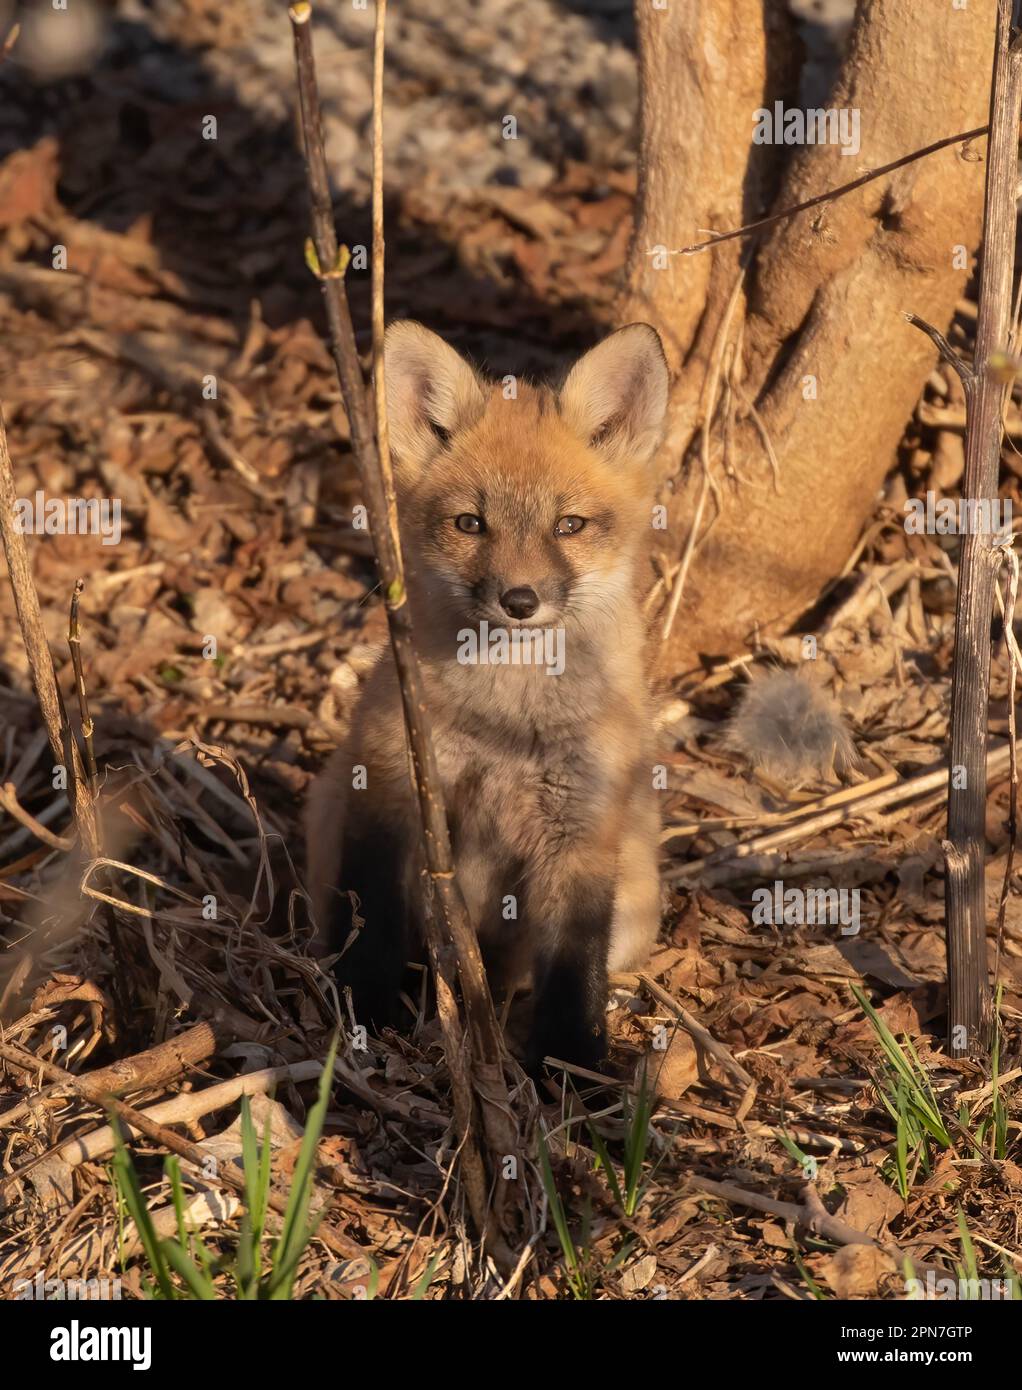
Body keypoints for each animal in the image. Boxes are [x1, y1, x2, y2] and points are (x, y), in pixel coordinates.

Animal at [305, 319, 669, 1072]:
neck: (506, 724)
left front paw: (573, 1065)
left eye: (569, 526)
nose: (520, 600)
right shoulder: (393, 789)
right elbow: (373, 920)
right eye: (471, 524)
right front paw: (366, 1011)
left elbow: (573, 966)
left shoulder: (583, 830)